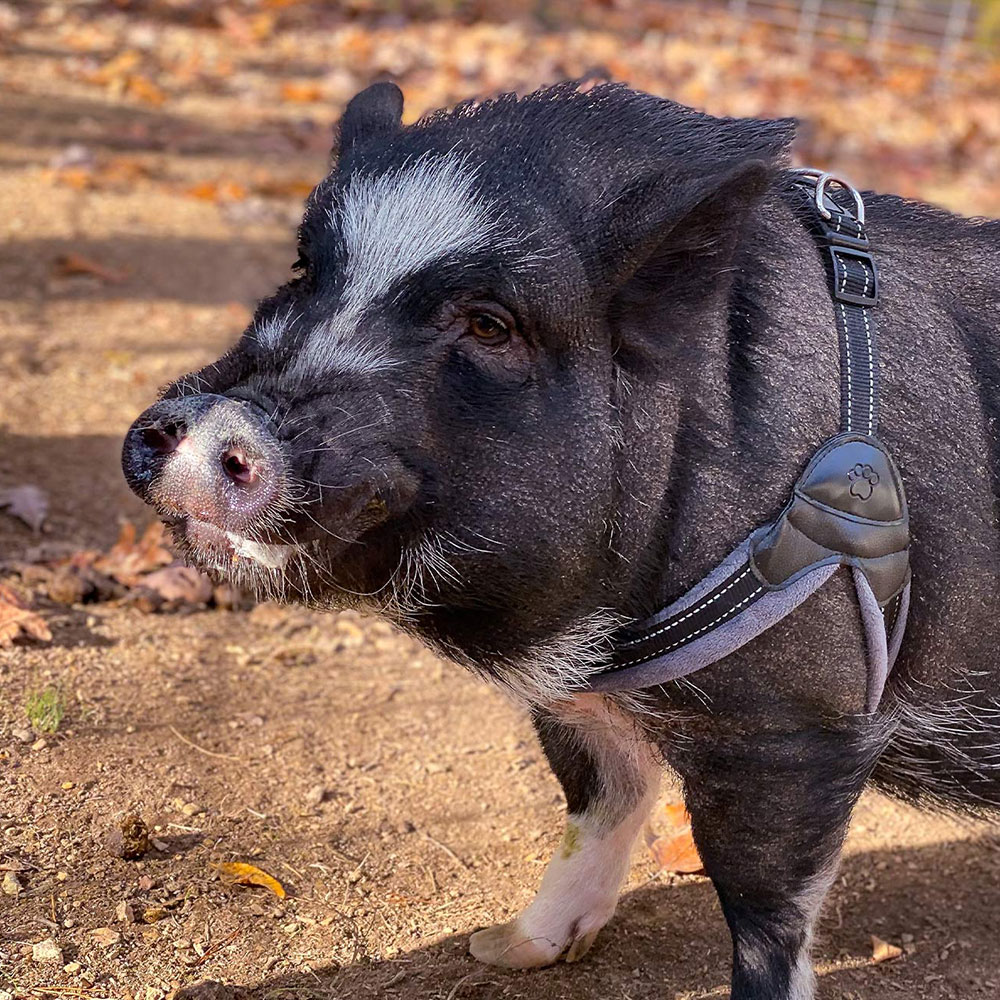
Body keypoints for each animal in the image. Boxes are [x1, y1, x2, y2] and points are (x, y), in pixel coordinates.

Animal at [122, 81, 1000, 999]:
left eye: (489, 324)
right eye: (304, 273)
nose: (206, 419)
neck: (596, 628)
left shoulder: (797, 719)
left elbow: (765, 909)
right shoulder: (580, 698)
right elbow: (598, 802)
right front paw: (506, 949)